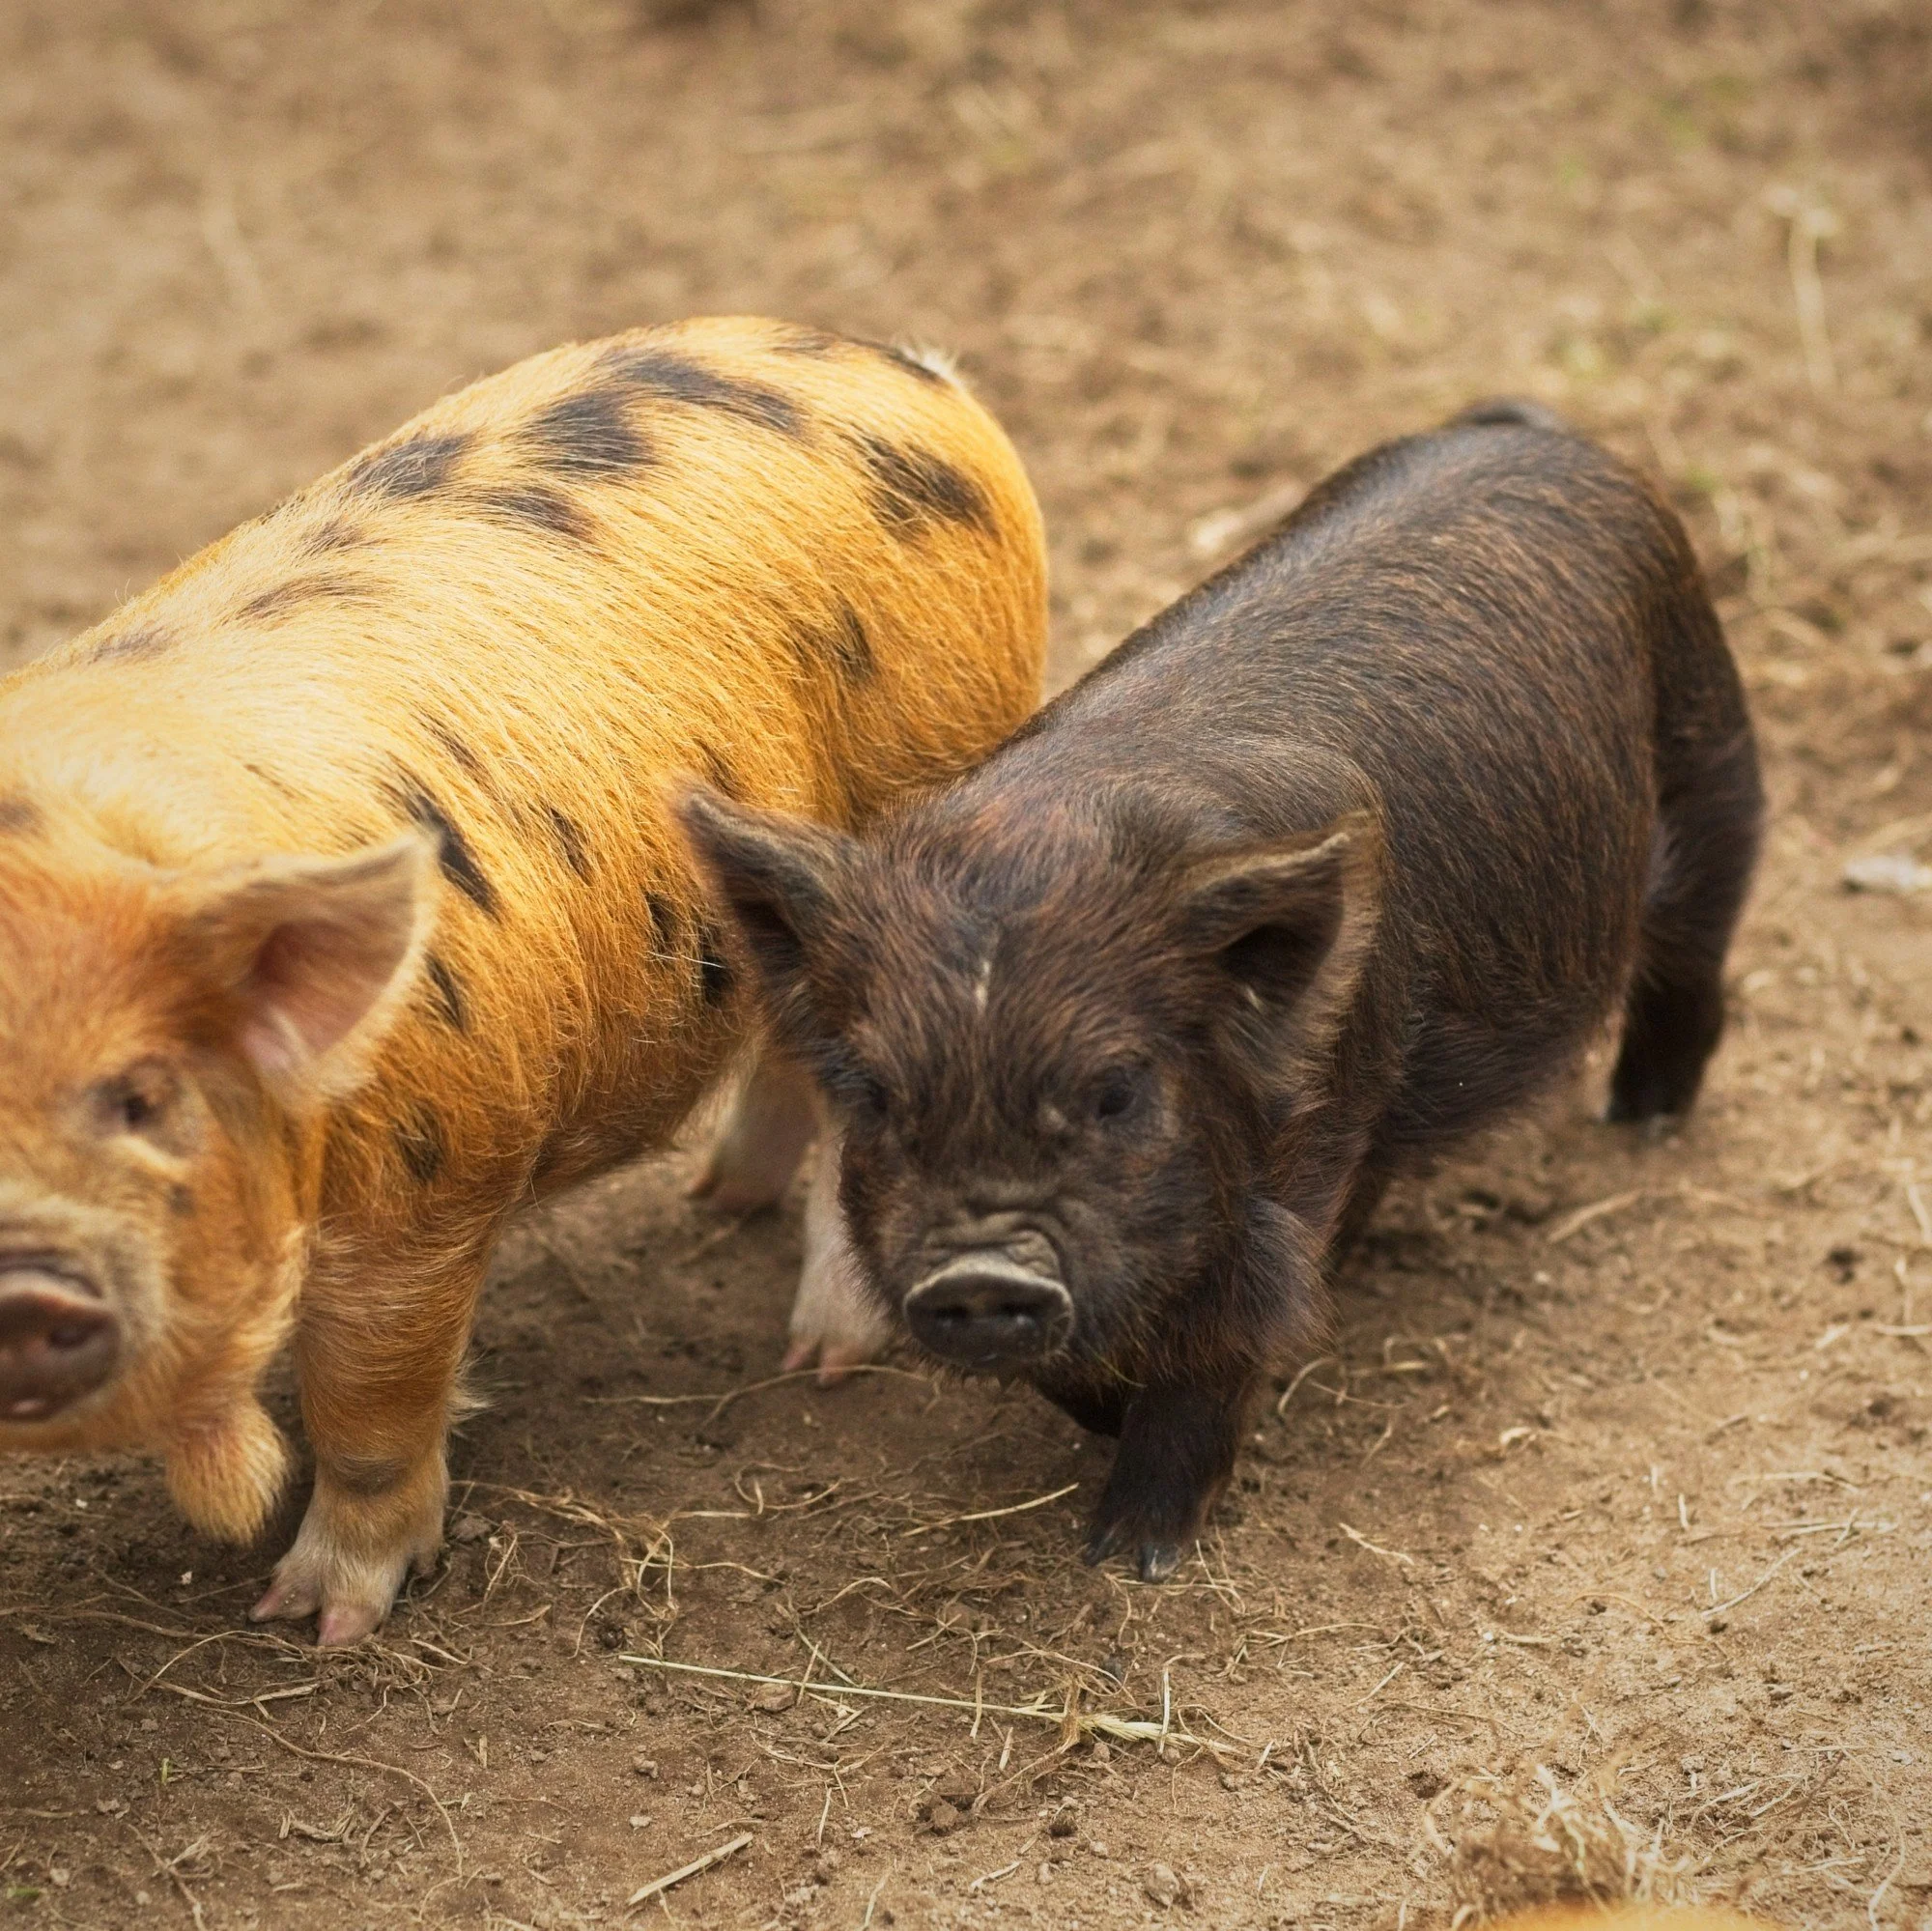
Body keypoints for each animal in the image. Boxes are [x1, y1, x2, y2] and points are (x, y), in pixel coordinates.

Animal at [0, 317, 1047, 1642]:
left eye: (142, 1092)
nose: (24, 1283)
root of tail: (909, 374)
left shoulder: (425, 1180)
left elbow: (370, 1400)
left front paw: (315, 1621)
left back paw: (818, 1359)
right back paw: (716, 1199)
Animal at [679, 400, 1763, 1581]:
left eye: (1115, 1091)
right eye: (874, 1096)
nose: (979, 1272)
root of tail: (1535, 428)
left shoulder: (1301, 1144)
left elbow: (1219, 1341)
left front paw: (1131, 1555)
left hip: (1710, 764)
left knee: (1693, 956)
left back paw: (1642, 1120)